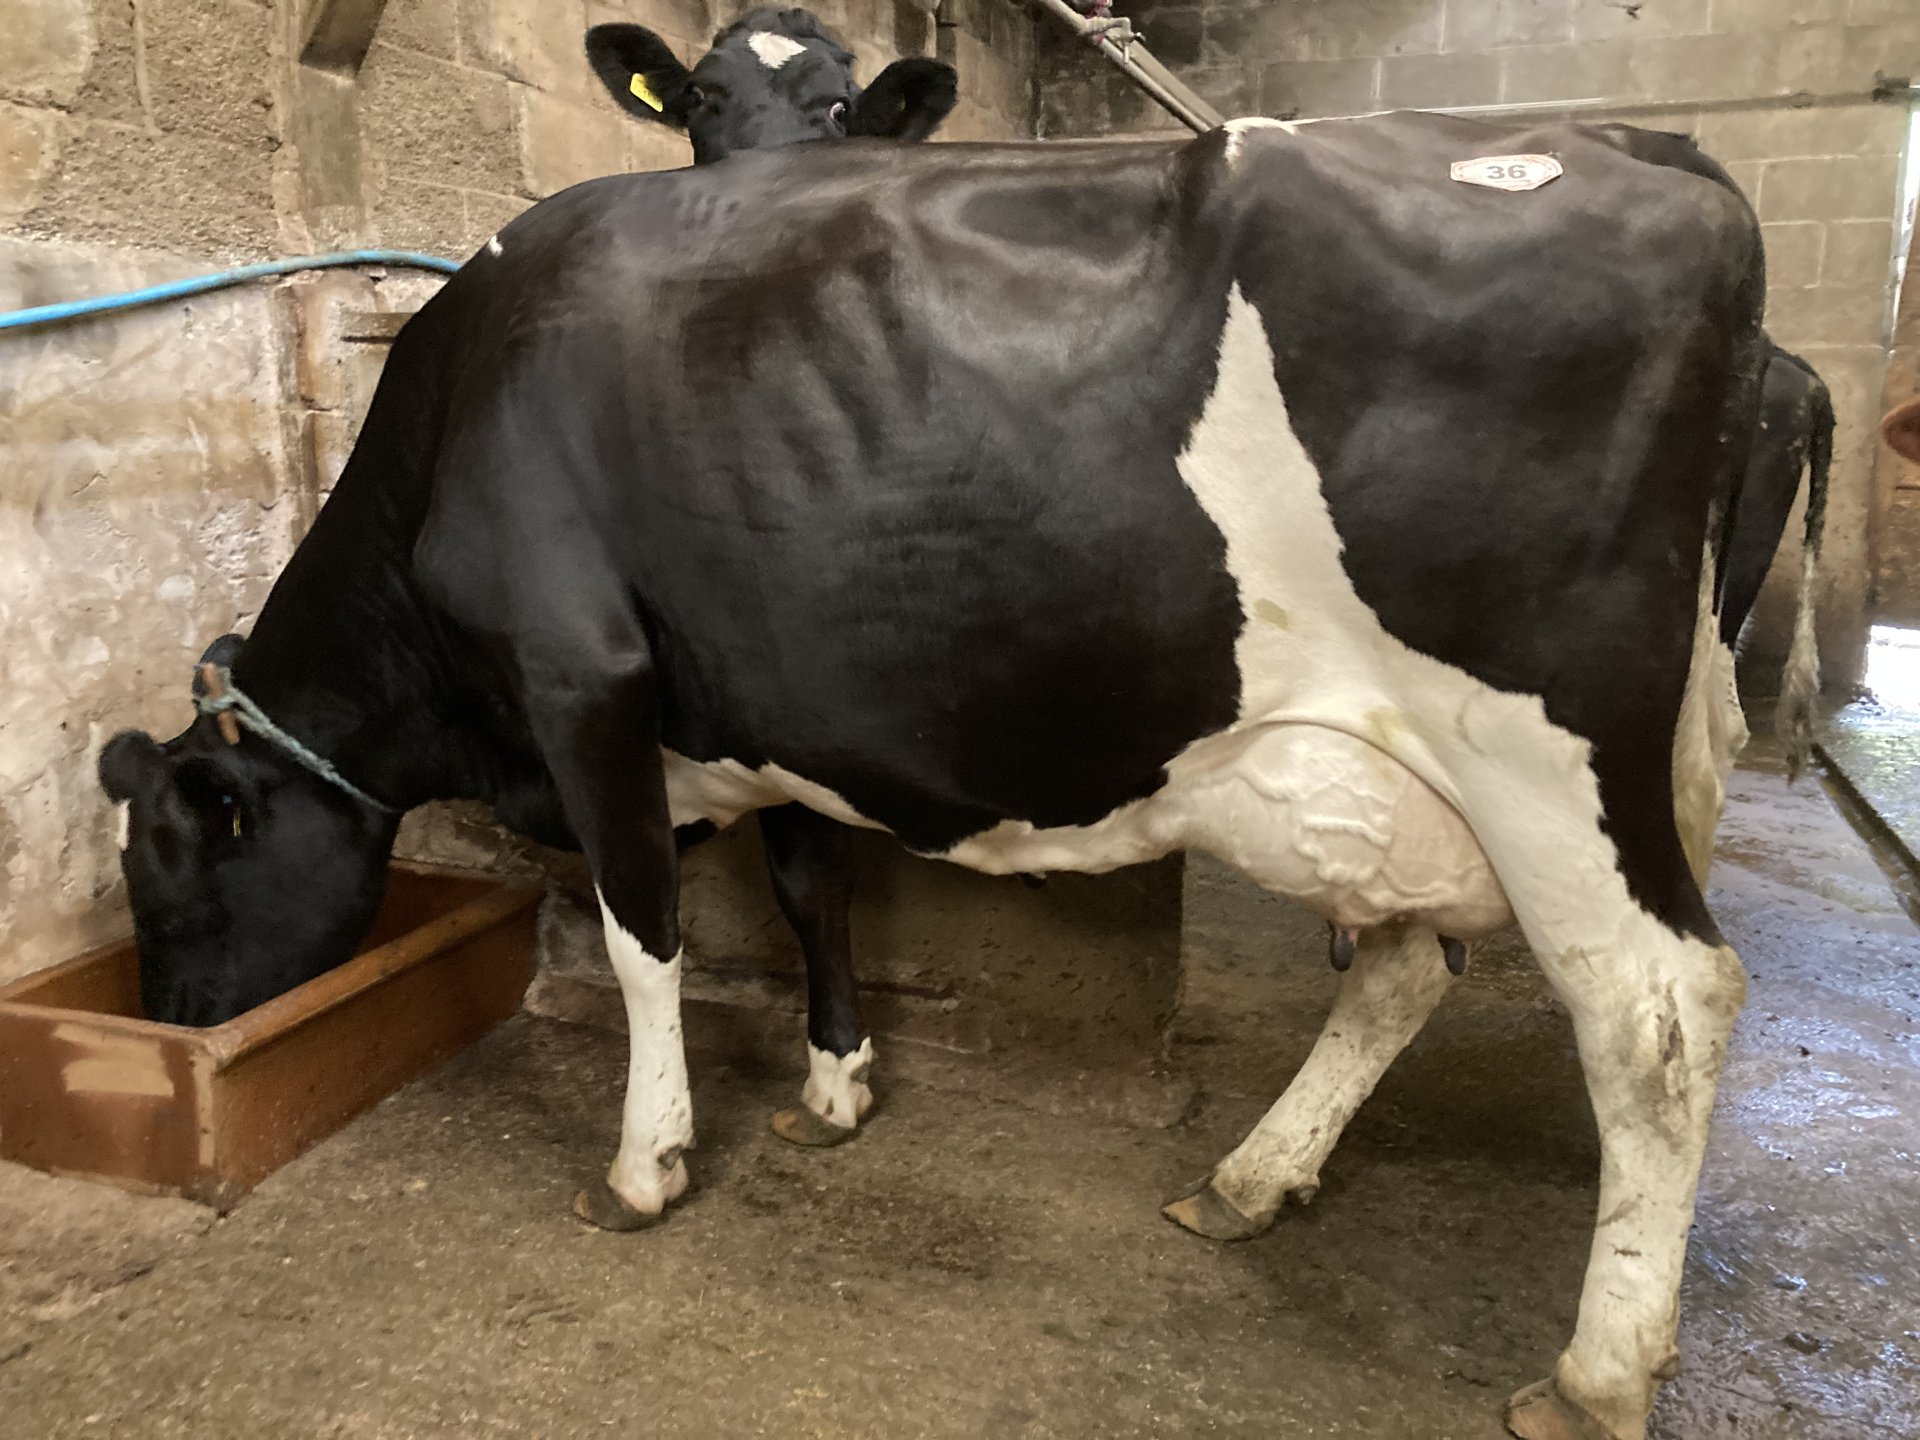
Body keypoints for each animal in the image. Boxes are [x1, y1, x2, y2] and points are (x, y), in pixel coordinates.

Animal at [99, 115, 1787, 1439]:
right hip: (1426, 773)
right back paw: (1251, 1182)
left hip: (1546, 749)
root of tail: (1652, 149)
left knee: (1655, 1011)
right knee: (1405, 969)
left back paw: (1594, 1372)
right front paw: (836, 1089)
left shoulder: (588, 686)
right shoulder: (769, 708)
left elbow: (646, 939)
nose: (173, 1030)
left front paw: (647, 1164)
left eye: (168, 882)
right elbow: (810, 890)